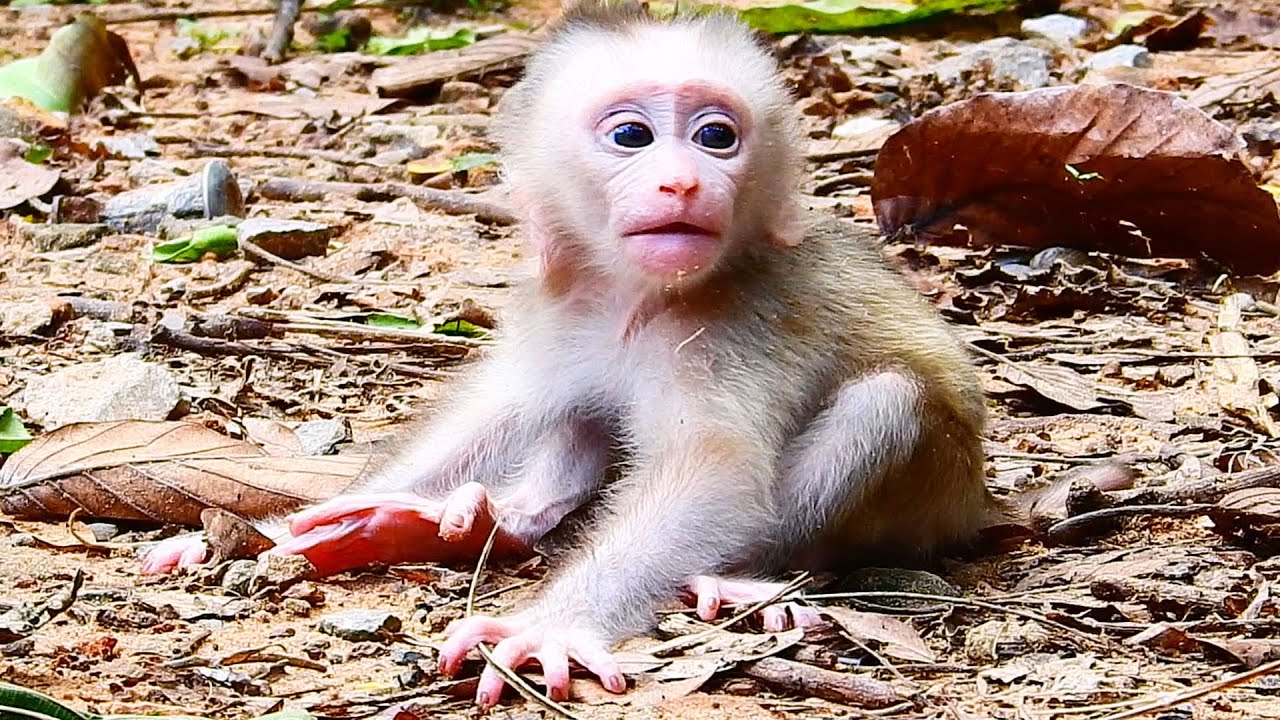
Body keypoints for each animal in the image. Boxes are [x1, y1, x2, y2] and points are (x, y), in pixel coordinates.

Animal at [142, 1, 996, 707]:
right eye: (632, 137)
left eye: (716, 137)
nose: (684, 183)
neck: (634, 299)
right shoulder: (561, 306)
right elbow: (499, 412)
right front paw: (277, 530)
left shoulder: (734, 322)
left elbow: (714, 473)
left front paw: (550, 627)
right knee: (580, 407)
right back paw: (488, 524)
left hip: (935, 499)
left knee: (887, 401)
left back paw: (745, 578)